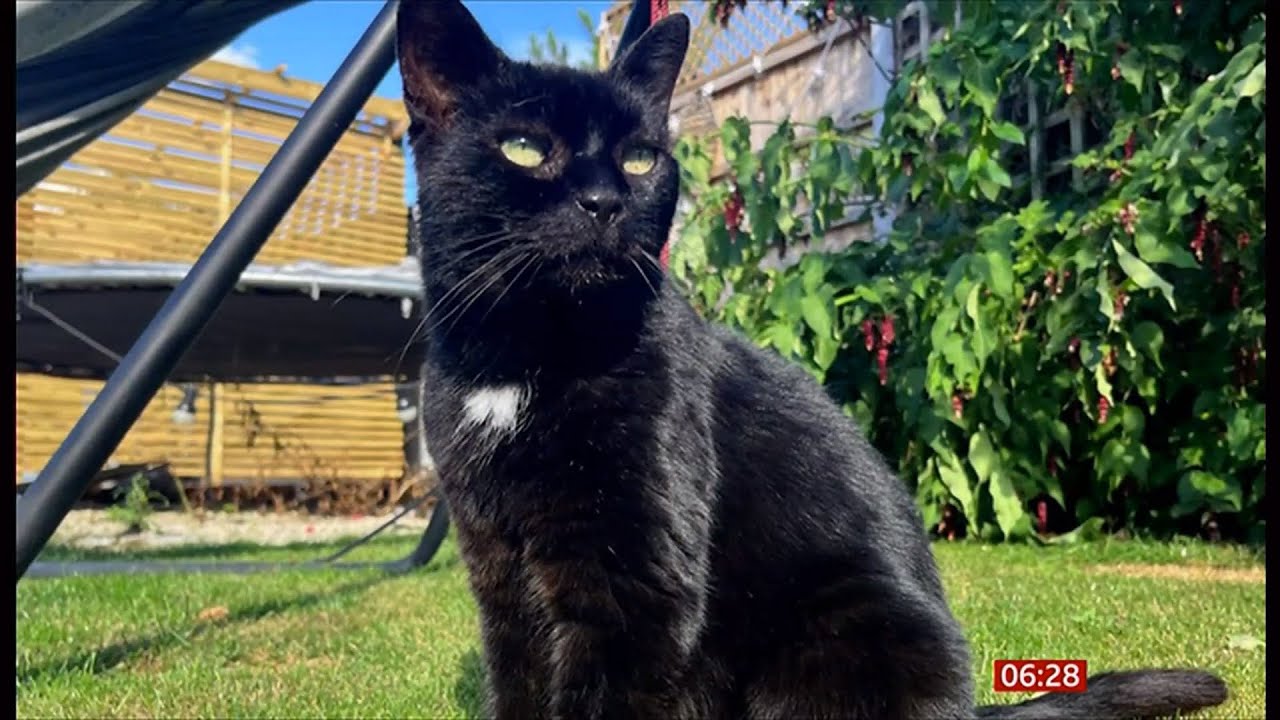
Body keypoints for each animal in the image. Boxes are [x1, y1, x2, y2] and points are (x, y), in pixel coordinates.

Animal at [397, 1, 1230, 718]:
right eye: (525, 147)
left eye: (638, 159)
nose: (604, 201)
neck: (523, 363)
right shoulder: (500, 572)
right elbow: (521, 687)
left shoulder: (636, 580)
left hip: (844, 627)